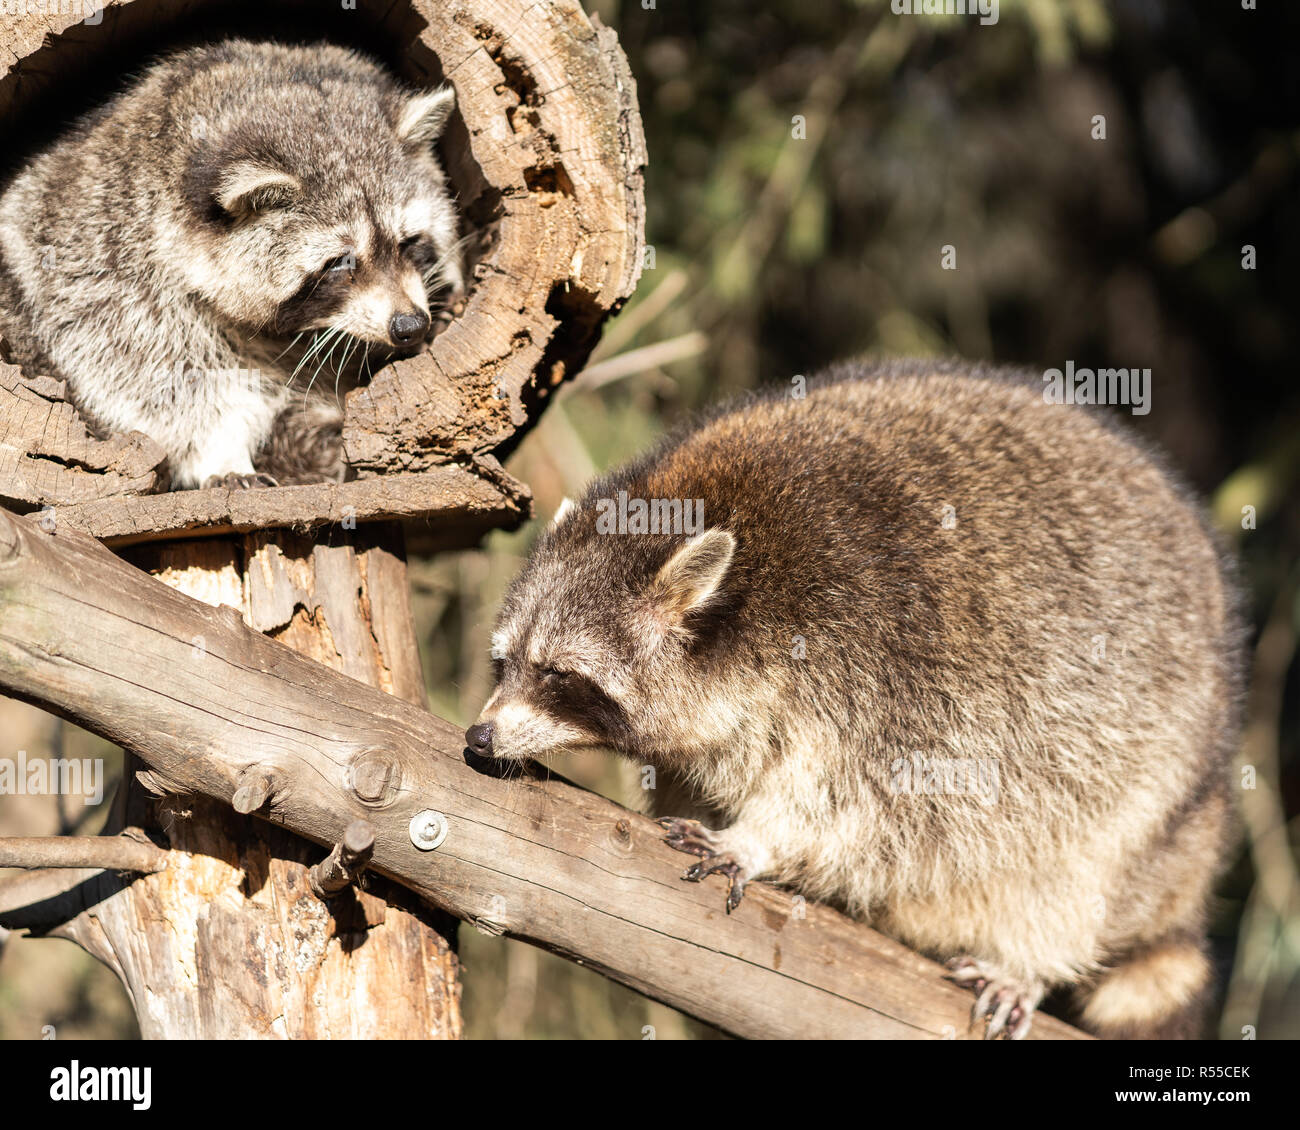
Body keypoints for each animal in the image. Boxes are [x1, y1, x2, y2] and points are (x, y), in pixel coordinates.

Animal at [0, 39, 465, 489]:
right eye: (339, 263)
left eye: (407, 241)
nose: (409, 325)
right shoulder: (105, 270)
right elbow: (157, 380)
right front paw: (220, 448)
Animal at [467, 359, 1244, 1040]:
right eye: (504, 663)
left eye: (557, 676)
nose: (479, 738)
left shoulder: (895, 672)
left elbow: (867, 805)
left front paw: (758, 837)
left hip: (1151, 769)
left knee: (1078, 861)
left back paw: (1028, 956)